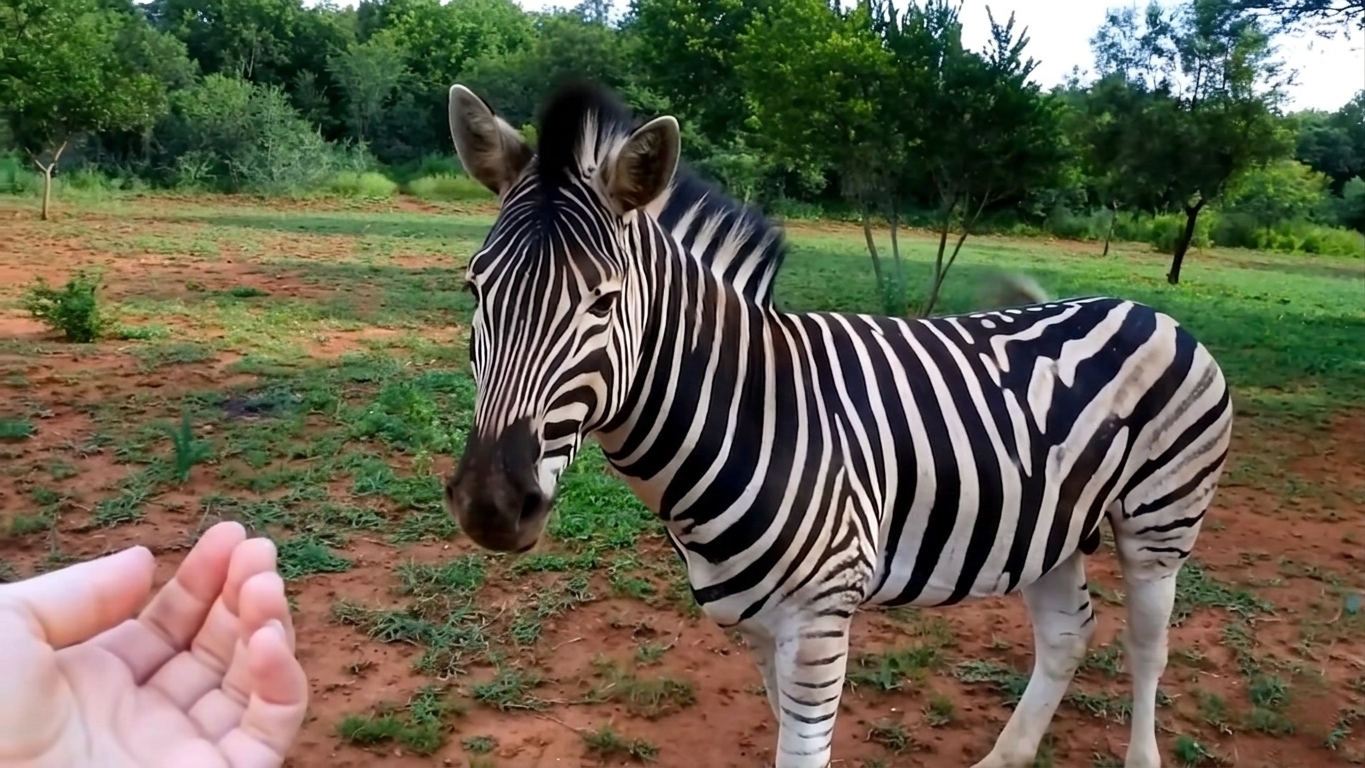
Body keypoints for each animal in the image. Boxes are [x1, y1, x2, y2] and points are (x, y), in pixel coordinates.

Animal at [440, 79, 1233, 768]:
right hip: (1051, 527)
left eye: (603, 303)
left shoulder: (820, 619)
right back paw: (1004, 758)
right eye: (475, 289)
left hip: (1160, 522)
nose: (490, 504)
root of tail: (1142, 308)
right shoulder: (760, 625)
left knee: (1145, 648)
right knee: (1069, 635)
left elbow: (804, 750)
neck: (754, 414)